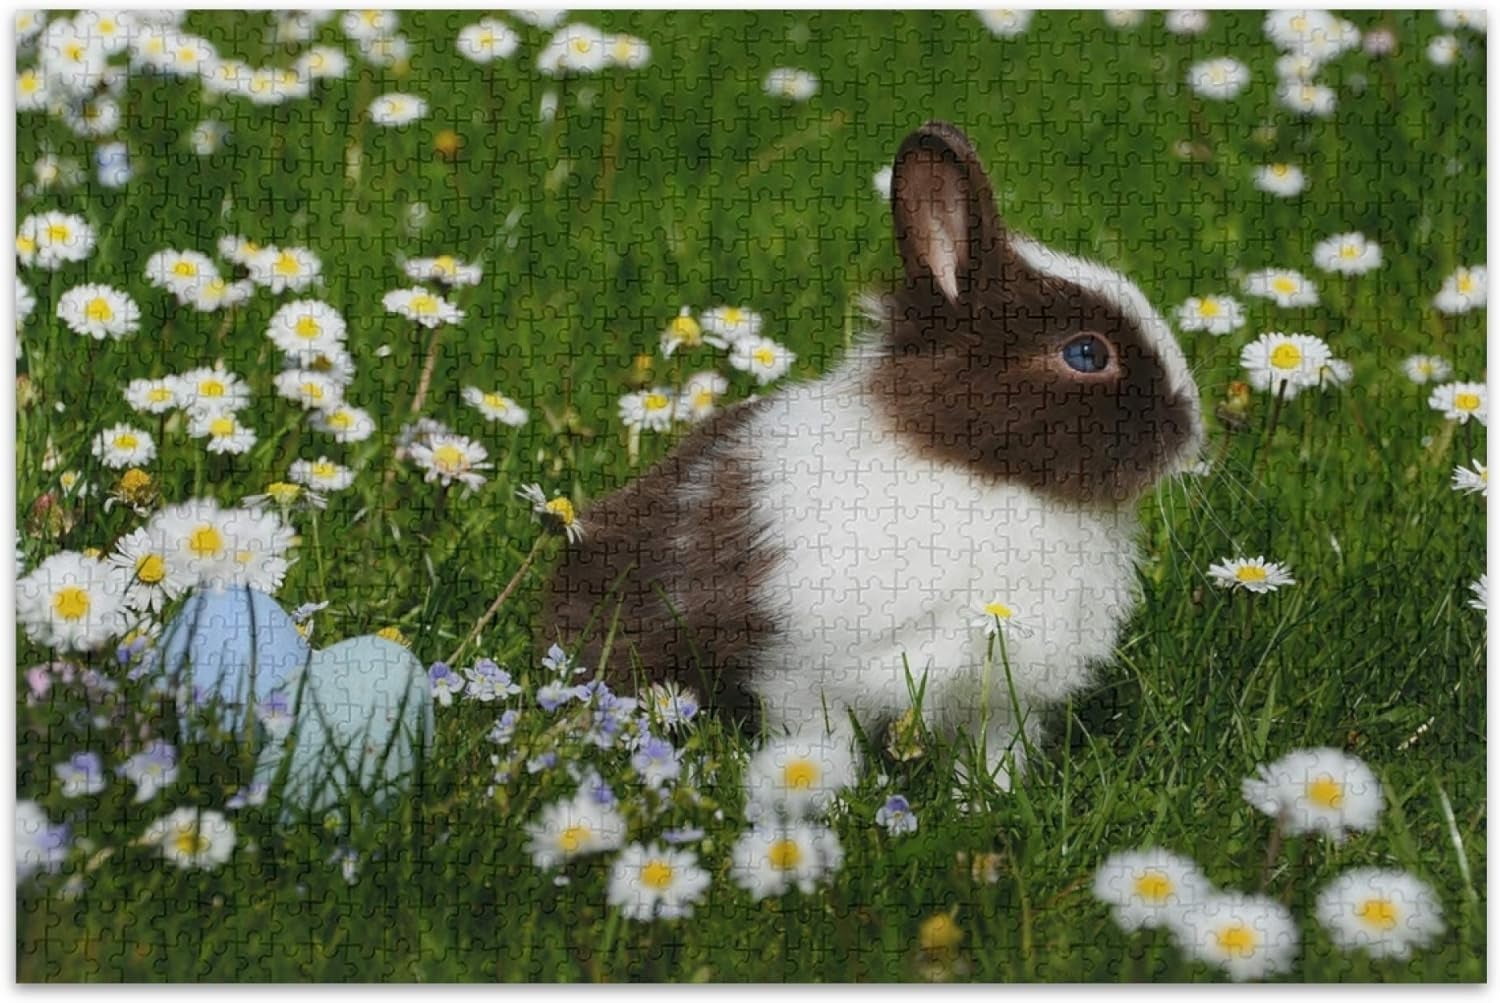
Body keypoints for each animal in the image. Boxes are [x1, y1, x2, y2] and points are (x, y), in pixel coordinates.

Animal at [543, 121, 1203, 790]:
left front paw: (982, 800)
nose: (1191, 428)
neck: (978, 472)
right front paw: (826, 799)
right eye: (1087, 354)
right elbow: (821, 745)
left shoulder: (999, 700)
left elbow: (992, 757)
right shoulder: (804, 675)